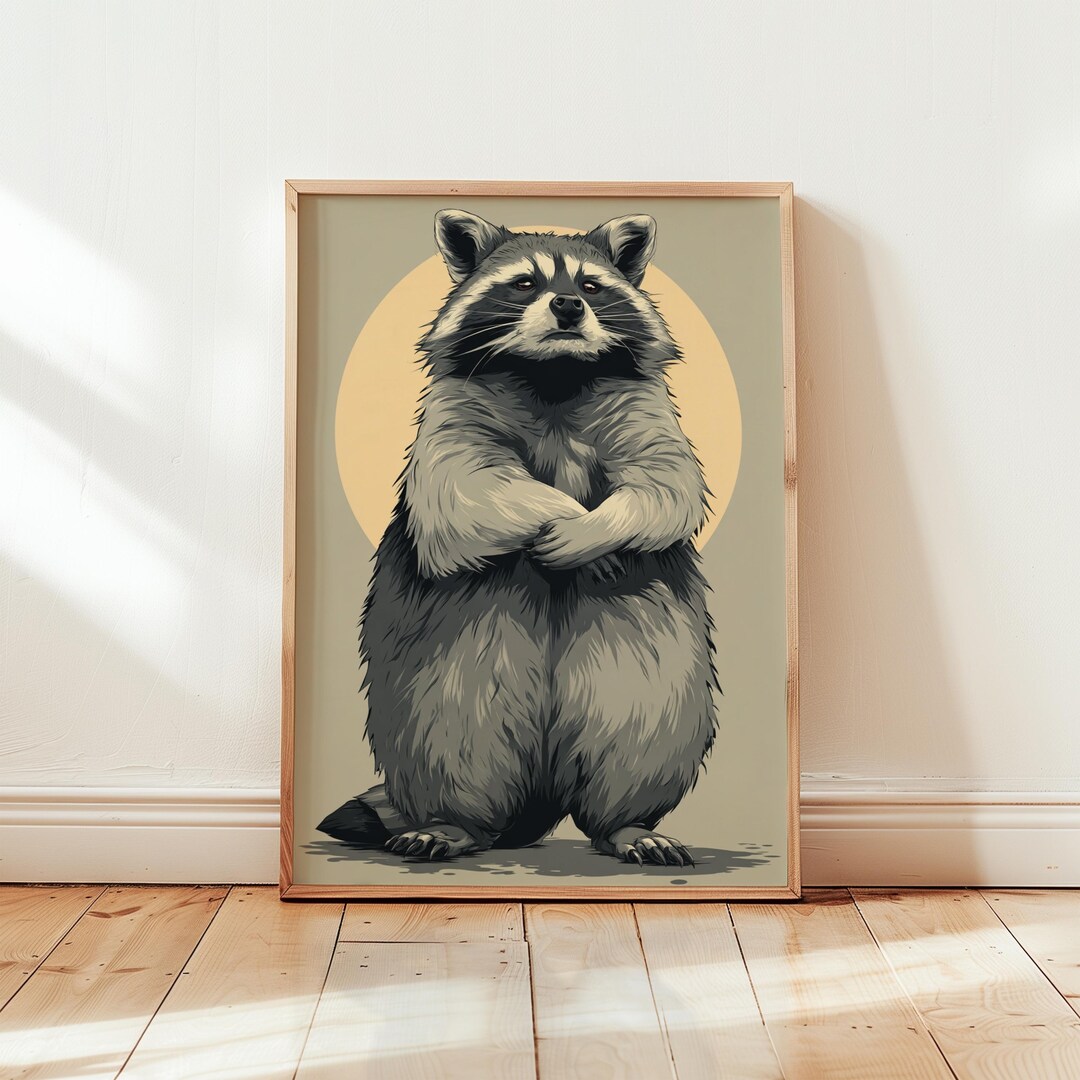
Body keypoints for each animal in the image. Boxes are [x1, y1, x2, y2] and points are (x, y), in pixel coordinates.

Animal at [317, 209, 719, 868]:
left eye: (591, 286)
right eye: (525, 283)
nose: (567, 307)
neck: (553, 374)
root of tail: (544, 790)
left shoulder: (645, 409)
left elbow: (666, 484)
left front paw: (591, 530)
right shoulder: (452, 415)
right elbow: (461, 488)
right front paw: (554, 510)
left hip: (652, 658)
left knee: (642, 730)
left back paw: (628, 824)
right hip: (444, 677)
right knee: (452, 737)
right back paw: (453, 822)